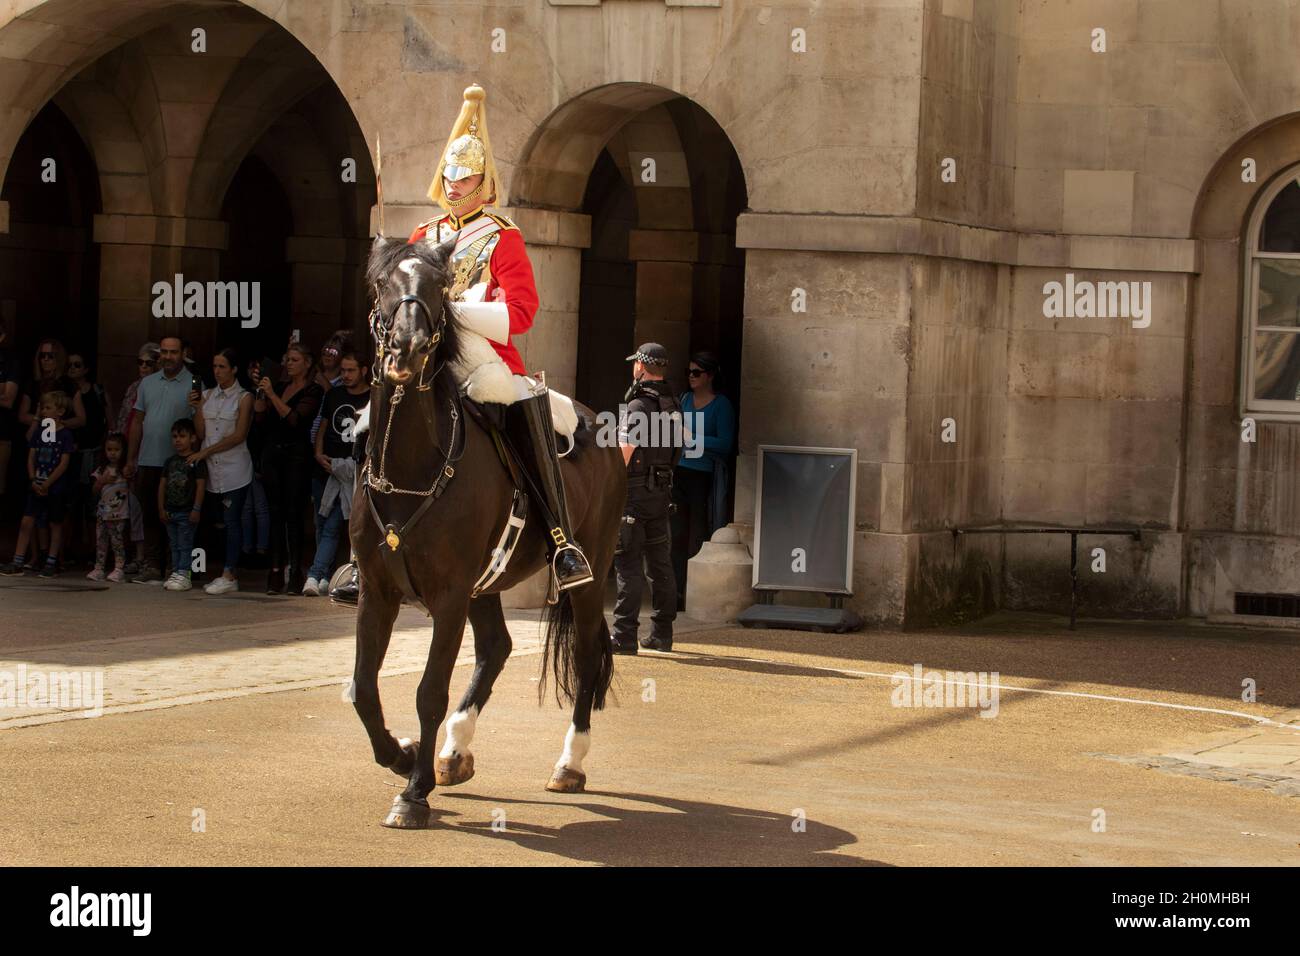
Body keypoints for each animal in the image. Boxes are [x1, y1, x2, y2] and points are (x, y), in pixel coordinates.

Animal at [350, 234, 626, 829]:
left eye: (437, 285)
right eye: (382, 283)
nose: (406, 351)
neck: (411, 468)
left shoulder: (450, 596)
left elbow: (430, 691)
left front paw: (413, 792)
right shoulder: (376, 592)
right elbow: (362, 689)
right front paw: (402, 755)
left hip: (589, 575)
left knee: (586, 654)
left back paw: (570, 762)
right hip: (487, 583)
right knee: (497, 646)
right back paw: (455, 750)